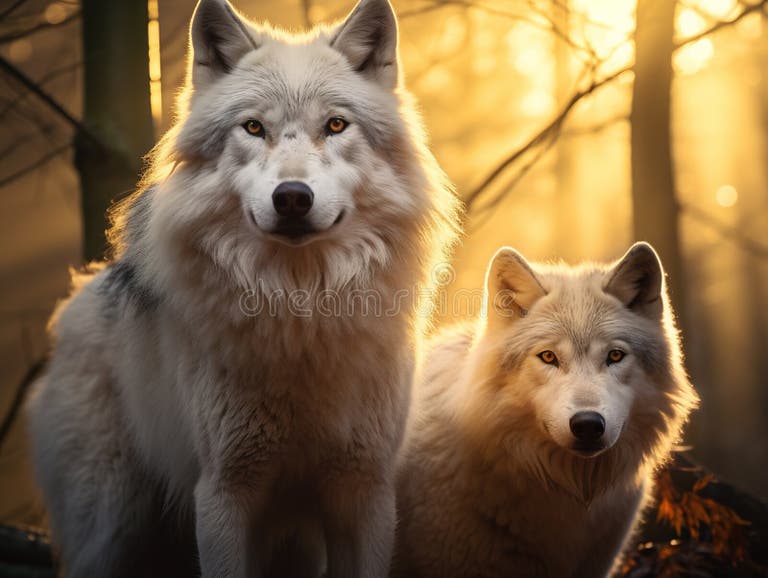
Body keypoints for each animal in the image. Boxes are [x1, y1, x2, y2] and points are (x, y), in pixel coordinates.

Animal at [26, 0, 459, 576]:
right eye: (253, 127)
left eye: (335, 125)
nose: (292, 197)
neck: (302, 312)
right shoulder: (224, 491)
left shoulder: (365, 491)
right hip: (113, 531)